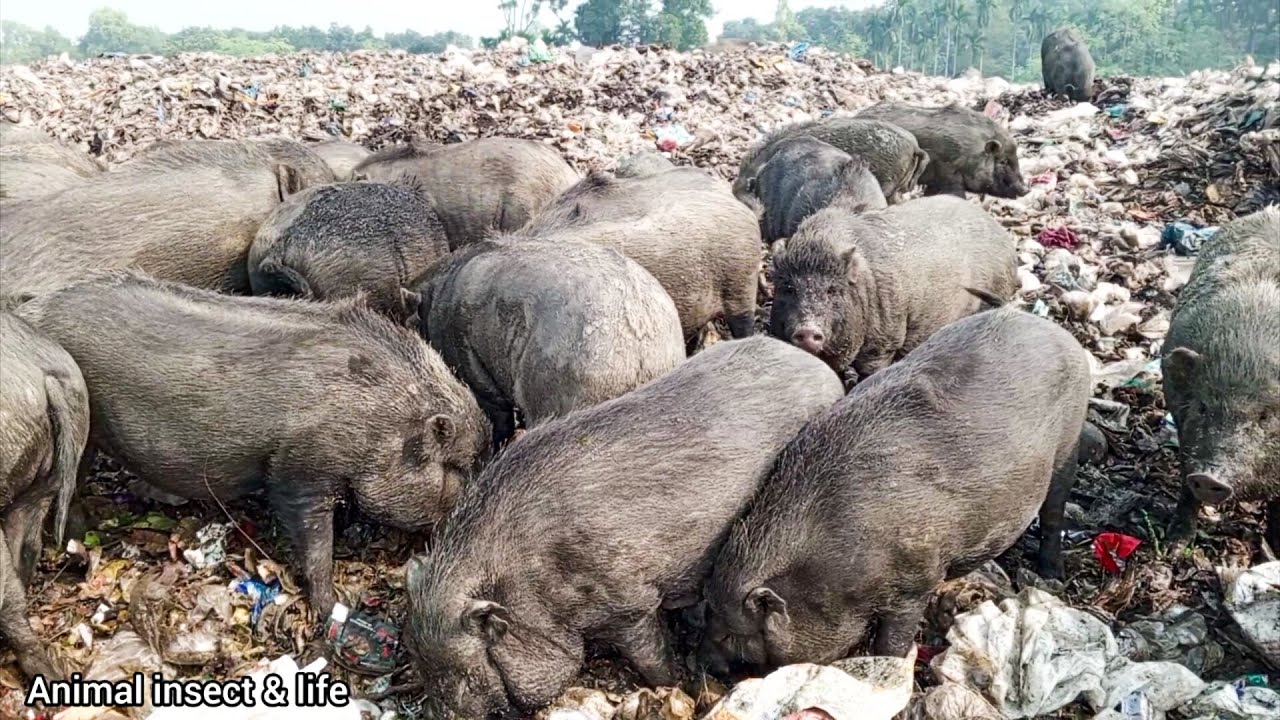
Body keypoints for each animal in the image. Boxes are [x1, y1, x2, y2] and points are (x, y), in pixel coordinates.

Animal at [17, 271, 490, 616]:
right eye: (459, 466)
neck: (380, 421)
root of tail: (32, 312)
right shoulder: (299, 470)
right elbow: (315, 543)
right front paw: (335, 605)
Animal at [403, 337, 845, 718]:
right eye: (421, 668)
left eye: (463, 675)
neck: (531, 578)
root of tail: (822, 370)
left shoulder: (630, 601)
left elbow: (650, 655)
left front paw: (672, 685)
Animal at [702, 308, 1090, 672]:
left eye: (736, 636)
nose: (707, 664)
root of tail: (1061, 334)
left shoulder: (917, 578)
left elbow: (893, 639)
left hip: (1068, 447)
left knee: (1054, 512)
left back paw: (1051, 575)